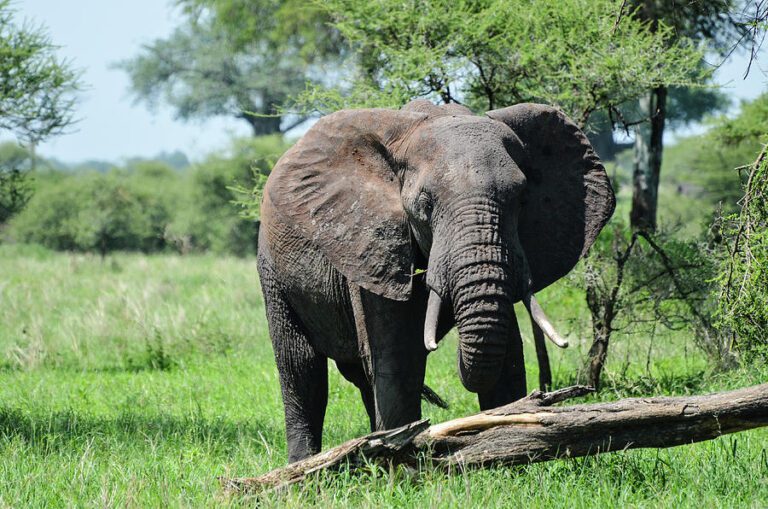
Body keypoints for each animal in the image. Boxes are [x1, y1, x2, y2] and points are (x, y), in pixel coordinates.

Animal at [257, 99, 615, 462]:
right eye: (425, 205)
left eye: (520, 199)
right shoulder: (371, 244)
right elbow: (399, 357)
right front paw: (401, 465)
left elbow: (508, 355)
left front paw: (508, 453)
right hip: (272, 271)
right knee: (303, 369)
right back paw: (309, 464)